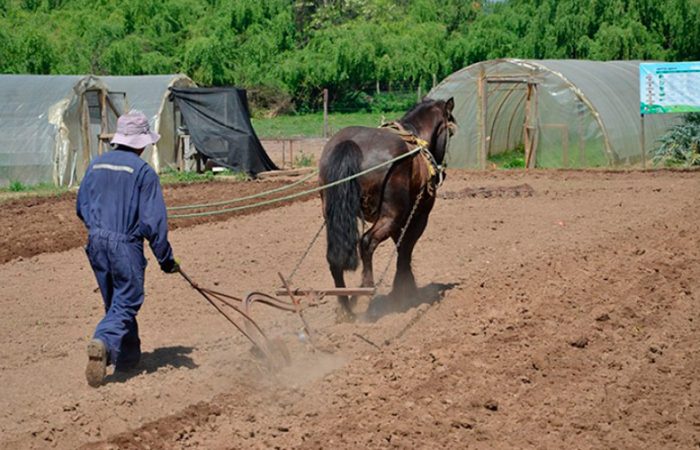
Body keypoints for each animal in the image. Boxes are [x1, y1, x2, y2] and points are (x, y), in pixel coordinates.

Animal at [320, 97, 456, 320]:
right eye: (450, 131)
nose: (442, 170)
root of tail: (350, 144)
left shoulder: (402, 219)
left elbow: (401, 248)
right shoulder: (417, 216)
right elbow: (406, 249)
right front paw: (403, 293)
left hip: (334, 215)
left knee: (334, 255)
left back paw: (345, 307)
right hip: (391, 216)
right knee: (367, 242)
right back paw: (366, 293)